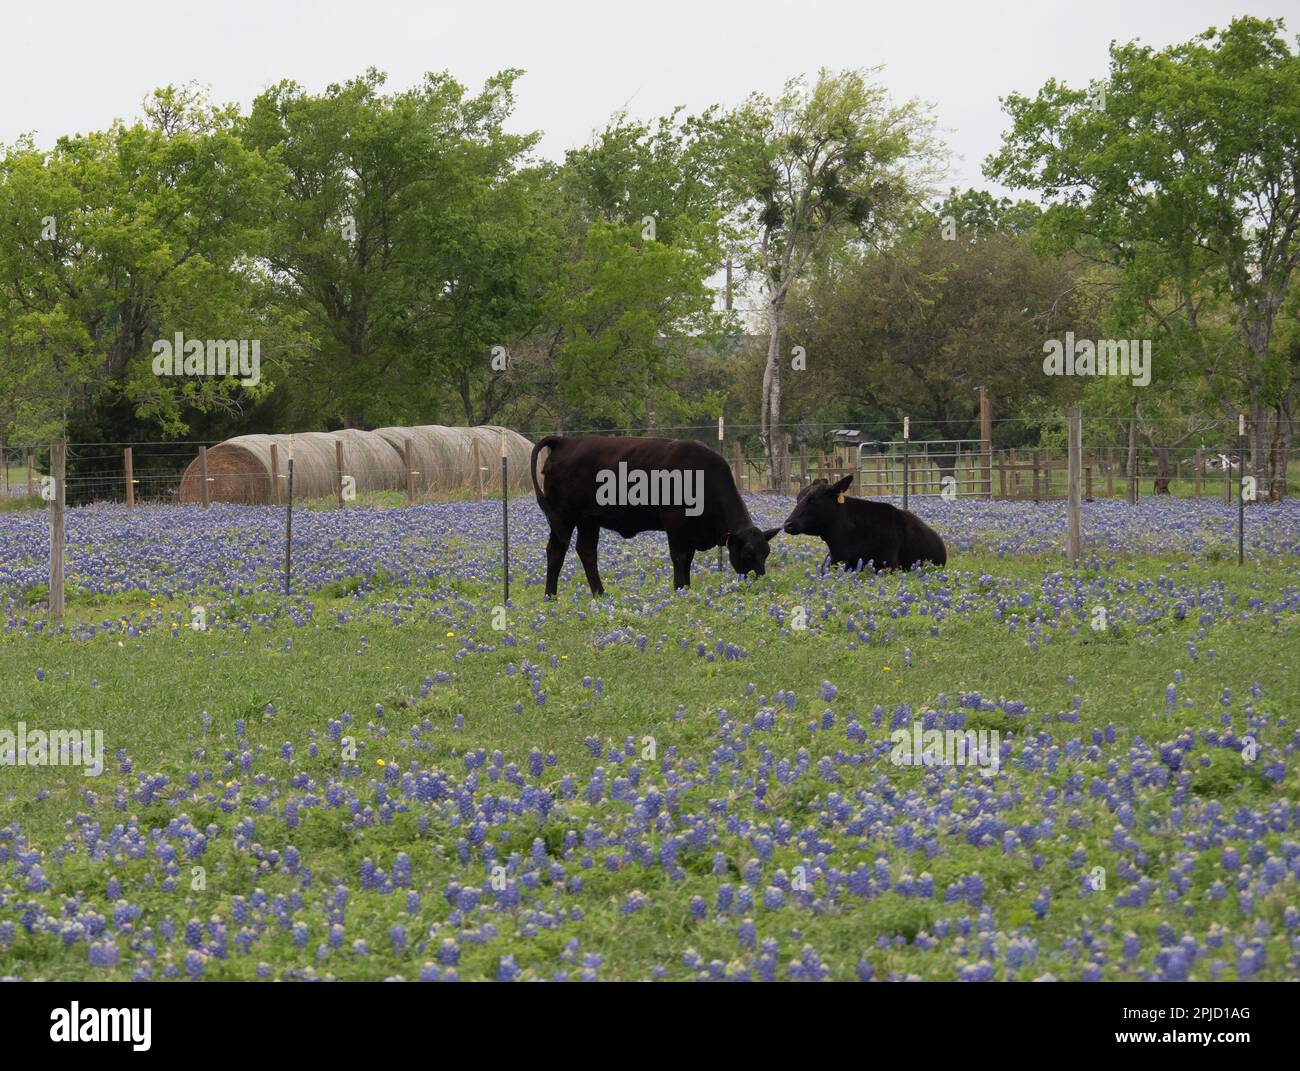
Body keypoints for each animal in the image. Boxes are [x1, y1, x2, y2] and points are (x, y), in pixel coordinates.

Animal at [530, 435, 780, 597]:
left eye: (766, 552)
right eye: (747, 553)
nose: (760, 580)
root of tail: (565, 440)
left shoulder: (689, 534)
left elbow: (687, 560)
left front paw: (686, 589)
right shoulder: (675, 526)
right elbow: (680, 558)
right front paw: (679, 590)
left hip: (589, 520)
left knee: (587, 551)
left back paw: (600, 594)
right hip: (563, 517)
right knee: (556, 551)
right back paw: (551, 596)